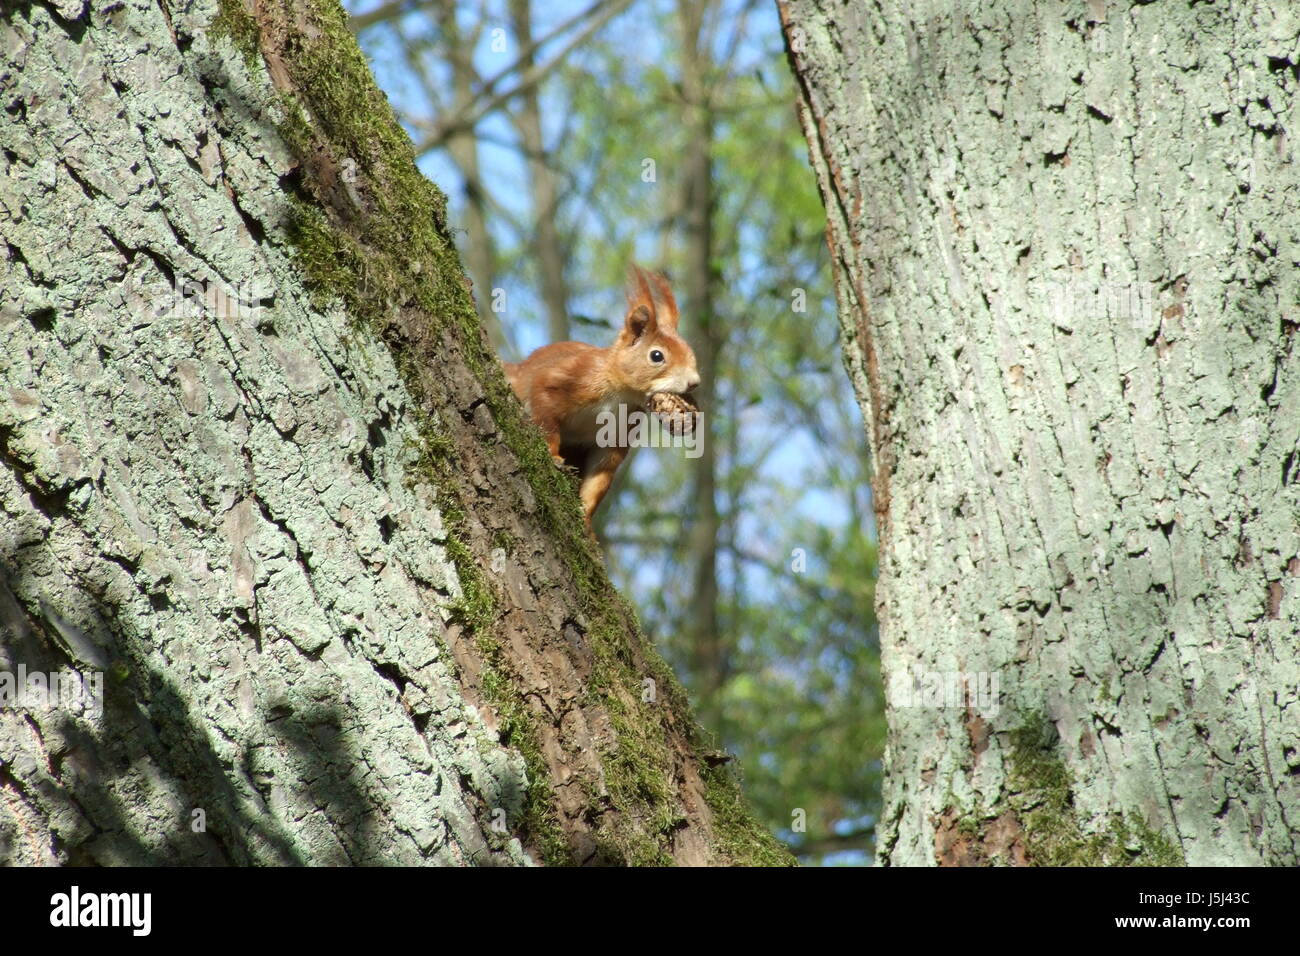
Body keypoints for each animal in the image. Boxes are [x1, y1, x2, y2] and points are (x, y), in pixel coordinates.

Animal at [501, 265, 700, 526]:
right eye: (657, 356)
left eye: (690, 351)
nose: (694, 382)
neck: (621, 396)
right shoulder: (567, 379)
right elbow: (545, 411)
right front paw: (554, 455)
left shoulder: (617, 433)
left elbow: (602, 474)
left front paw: (585, 515)